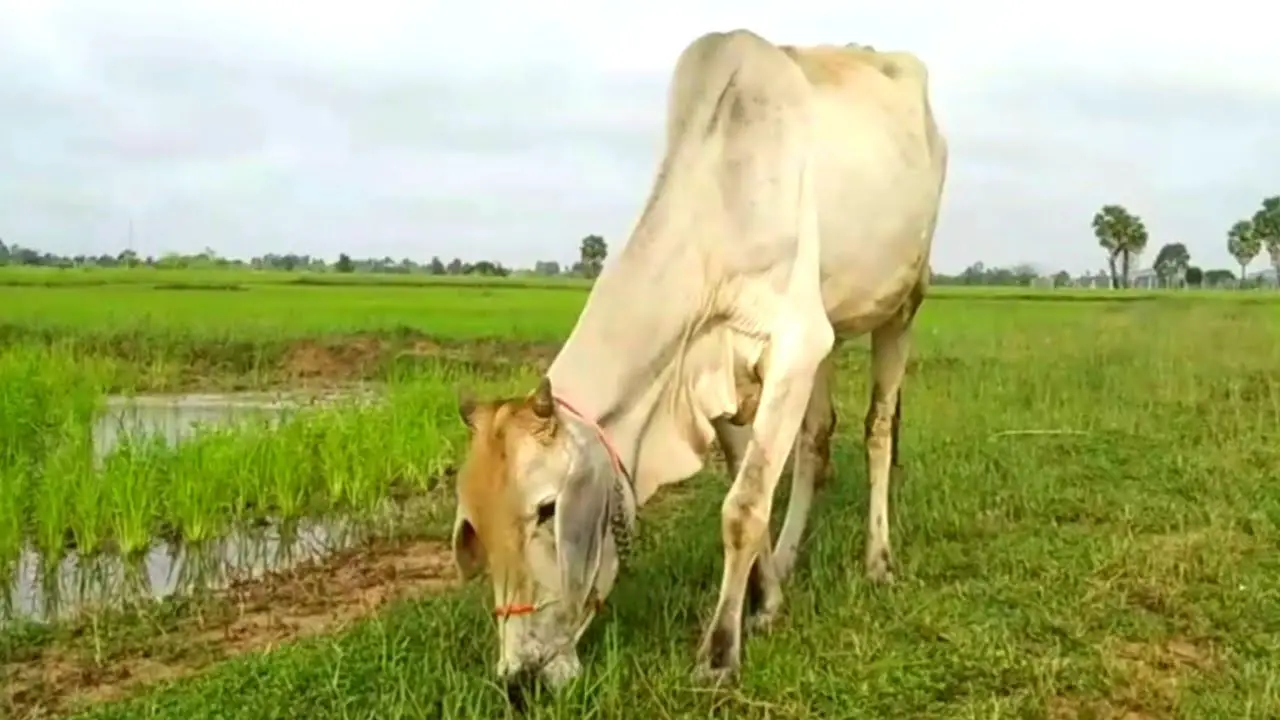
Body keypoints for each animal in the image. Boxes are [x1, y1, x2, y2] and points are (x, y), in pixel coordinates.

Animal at [451, 27, 948, 694]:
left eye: (547, 509)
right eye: (474, 527)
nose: (518, 679)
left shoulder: (795, 343)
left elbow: (742, 507)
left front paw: (718, 652)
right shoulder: (721, 372)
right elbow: (752, 482)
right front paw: (767, 601)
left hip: (902, 305)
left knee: (877, 432)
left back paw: (878, 561)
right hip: (829, 332)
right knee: (816, 440)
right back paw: (791, 557)